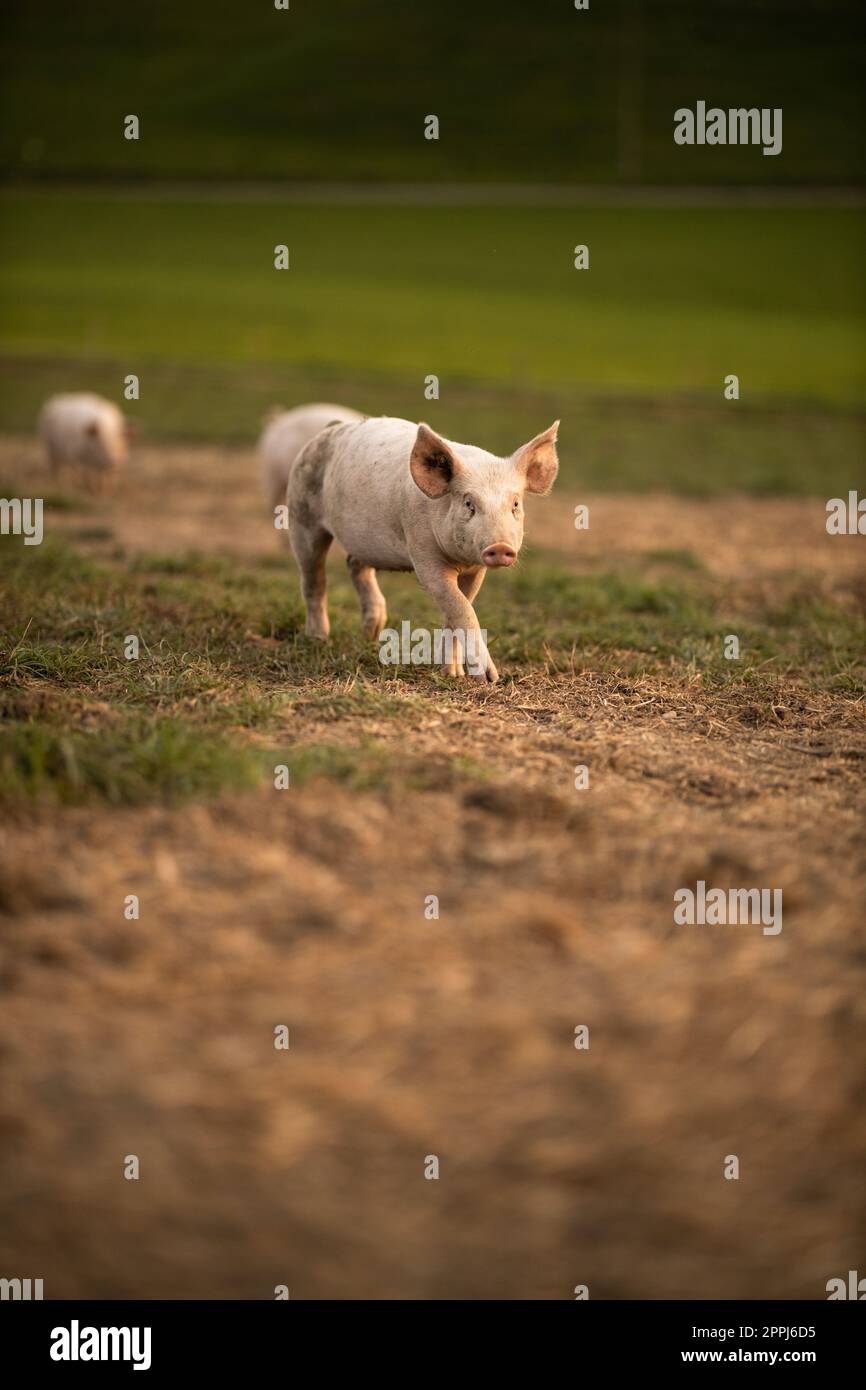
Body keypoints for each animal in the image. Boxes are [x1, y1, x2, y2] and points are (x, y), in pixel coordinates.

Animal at [287, 416, 559, 682]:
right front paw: (488, 678)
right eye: (468, 503)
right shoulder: (423, 553)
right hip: (302, 517)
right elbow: (462, 608)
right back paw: (318, 640)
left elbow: (458, 610)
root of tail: (330, 429)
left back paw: (372, 635)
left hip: (361, 543)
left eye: (515, 504)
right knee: (314, 579)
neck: (459, 560)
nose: (500, 546)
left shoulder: (476, 568)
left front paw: (452, 674)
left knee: (354, 565)